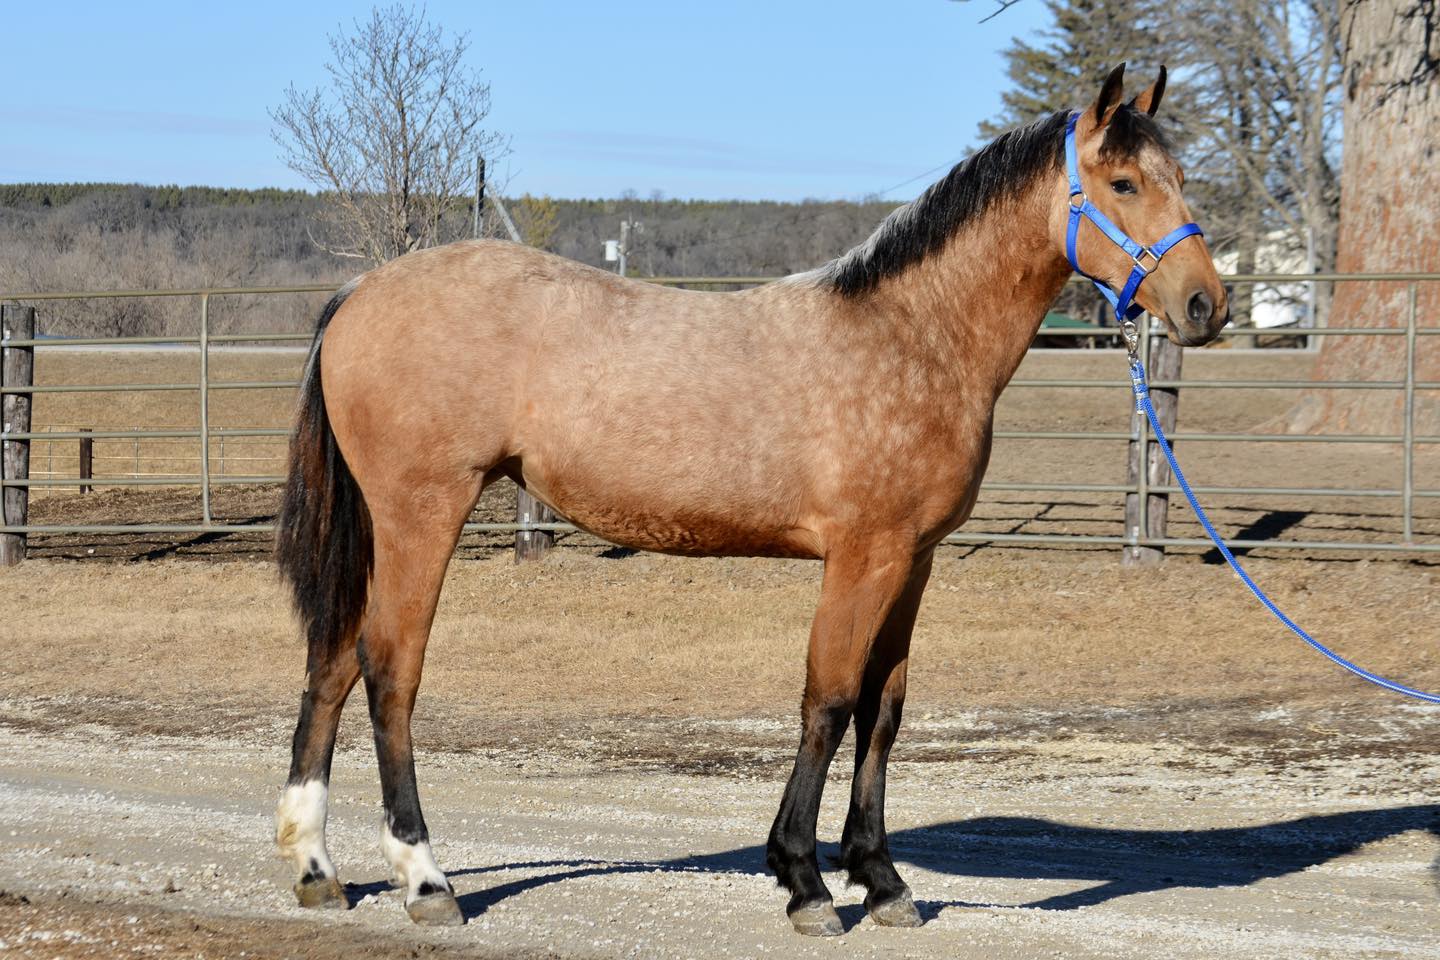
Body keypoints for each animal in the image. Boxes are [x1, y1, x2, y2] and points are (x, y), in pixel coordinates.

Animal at [272, 63, 1229, 937]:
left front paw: (882, 880)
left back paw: (317, 867)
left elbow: (884, 711)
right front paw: (805, 880)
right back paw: (425, 879)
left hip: (383, 526)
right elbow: (829, 701)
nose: (1205, 305)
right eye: (1123, 183)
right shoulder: (863, 555)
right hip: (421, 513)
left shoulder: (913, 559)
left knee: (331, 661)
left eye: (1180, 177)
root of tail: (360, 292)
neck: (913, 334)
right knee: (389, 669)